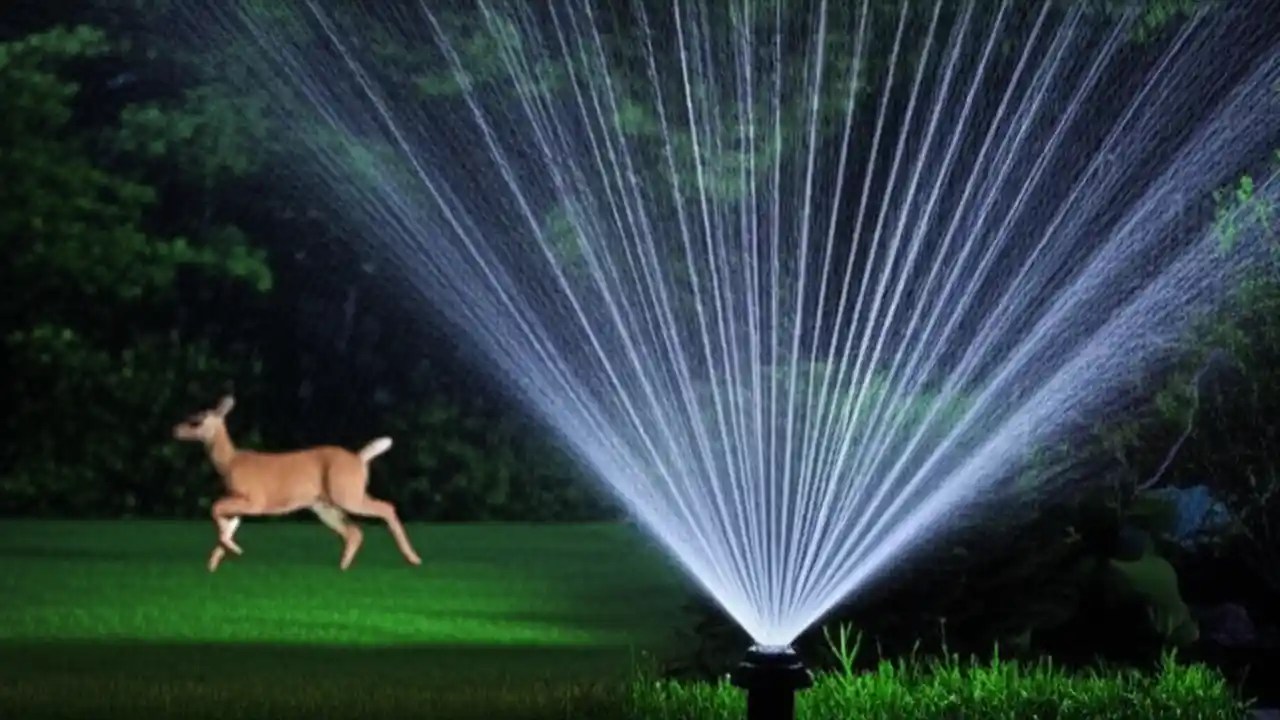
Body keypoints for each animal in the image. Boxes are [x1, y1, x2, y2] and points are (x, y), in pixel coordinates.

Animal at [172, 395, 422, 572]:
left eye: (196, 421)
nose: (175, 429)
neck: (230, 463)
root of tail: (360, 459)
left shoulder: (254, 500)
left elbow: (215, 508)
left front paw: (233, 550)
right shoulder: (240, 502)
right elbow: (228, 525)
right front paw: (215, 561)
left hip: (347, 493)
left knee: (386, 508)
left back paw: (413, 558)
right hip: (326, 504)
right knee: (354, 532)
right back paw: (343, 566)